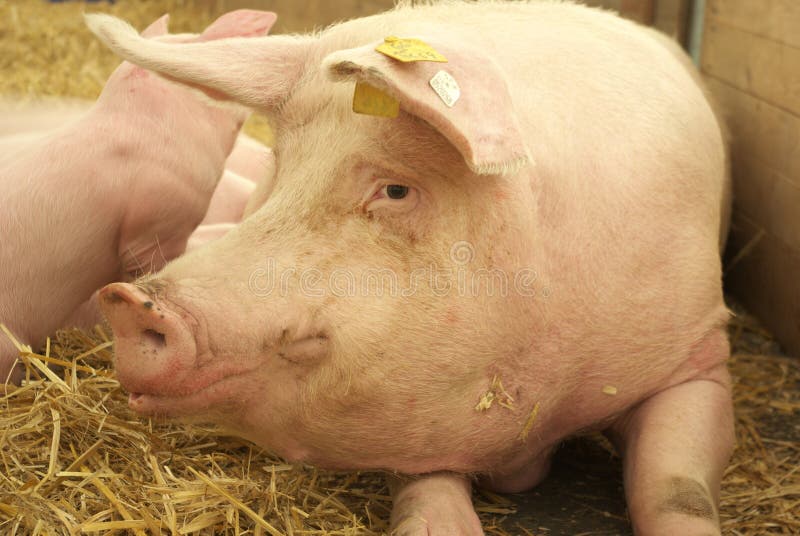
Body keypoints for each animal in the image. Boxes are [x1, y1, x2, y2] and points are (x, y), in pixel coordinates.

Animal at [89, 2, 733, 534]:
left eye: (396, 190)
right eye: (281, 165)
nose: (131, 302)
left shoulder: (700, 351)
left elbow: (678, 491)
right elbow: (425, 489)